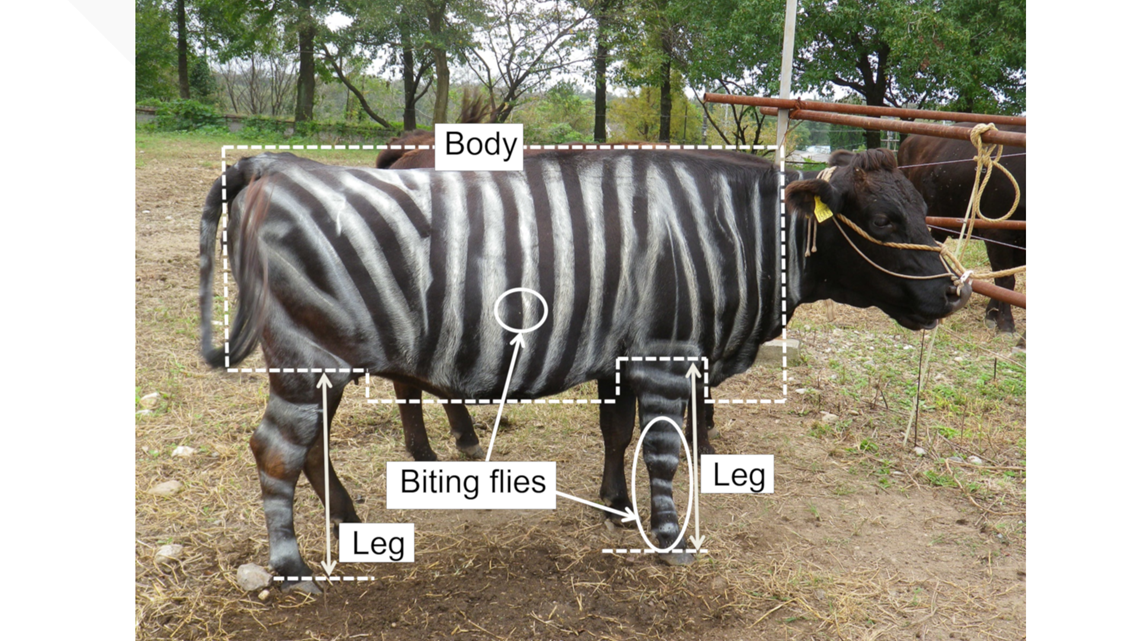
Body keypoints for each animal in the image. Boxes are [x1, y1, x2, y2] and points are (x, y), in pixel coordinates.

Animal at [199, 147, 970, 590]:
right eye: (884, 221)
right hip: (310, 357)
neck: (726, 232)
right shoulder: (664, 353)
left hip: (329, 360)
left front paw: (615, 508)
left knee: (309, 448)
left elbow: (616, 432)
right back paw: (292, 569)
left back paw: (348, 522)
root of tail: (272, 166)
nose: (957, 294)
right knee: (276, 450)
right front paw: (668, 538)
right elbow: (661, 449)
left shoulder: (623, 354)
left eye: (924, 215)